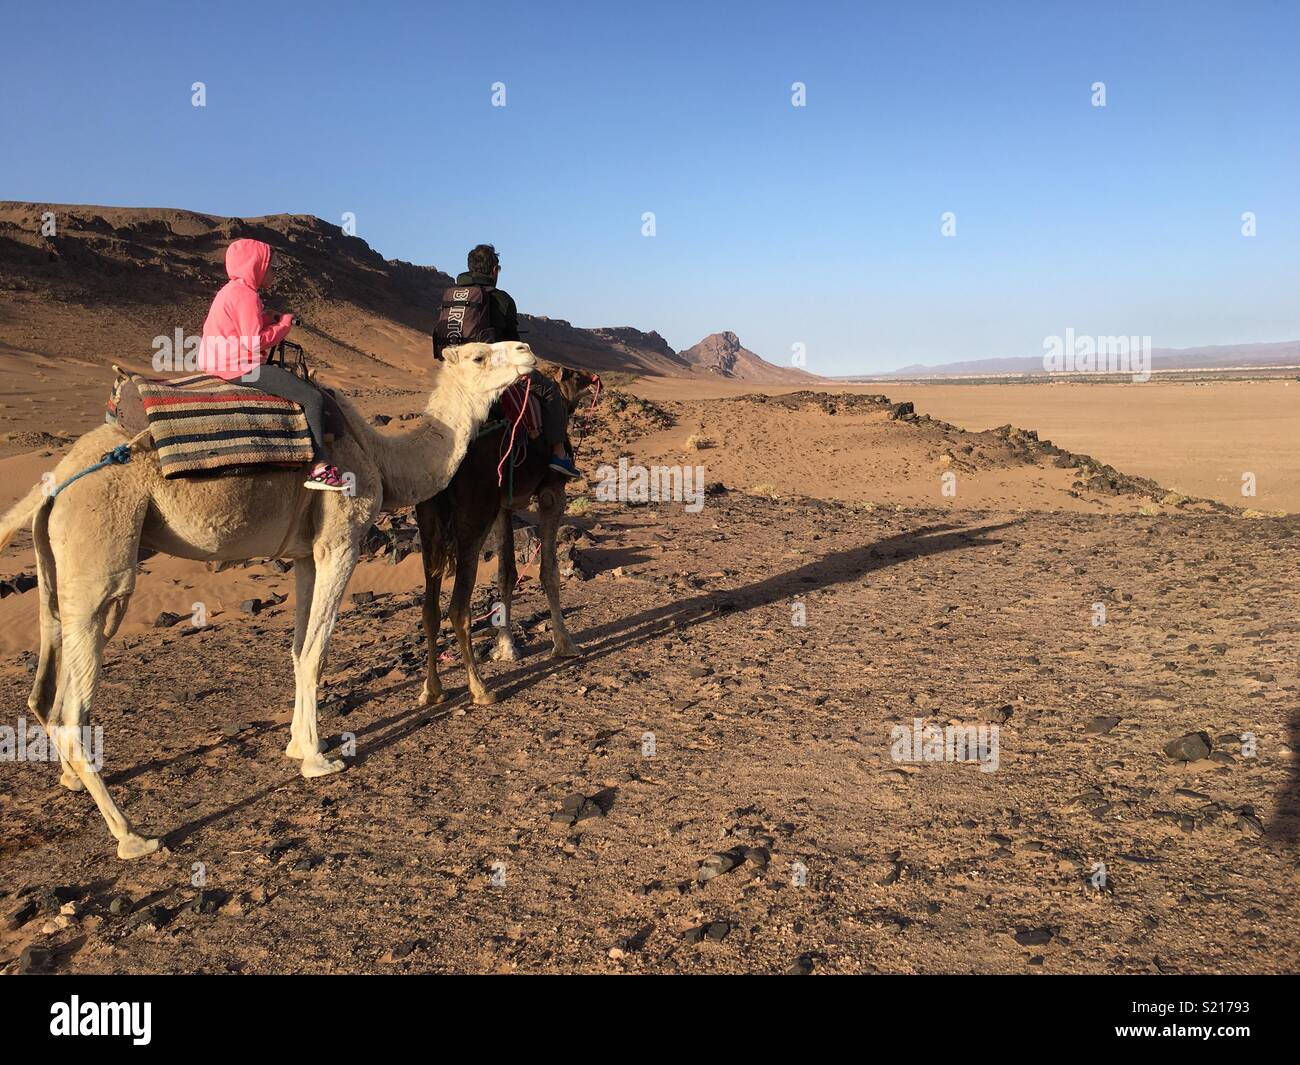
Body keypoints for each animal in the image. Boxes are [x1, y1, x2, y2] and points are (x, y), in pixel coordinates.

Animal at [0, 341, 535, 859]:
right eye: (480, 355)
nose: (527, 351)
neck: (380, 457)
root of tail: (57, 479)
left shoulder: (304, 554)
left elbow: (299, 650)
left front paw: (298, 745)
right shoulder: (341, 540)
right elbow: (317, 653)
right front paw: (319, 760)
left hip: (57, 570)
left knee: (46, 688)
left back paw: (73, 781)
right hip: (102, 559)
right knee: (72, 709)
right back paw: (132, 836)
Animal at [414, 365, 595, 707]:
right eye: (578, 376)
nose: (594, 379)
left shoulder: (504, 505)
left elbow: (506, 573)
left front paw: (507, 647)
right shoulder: (552, 493)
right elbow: (549, 571)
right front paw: (565, 644)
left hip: (429, 522)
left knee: (430, 609)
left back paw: (432, 689)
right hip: (472, 518)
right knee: (458, 608)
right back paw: (480, 688)